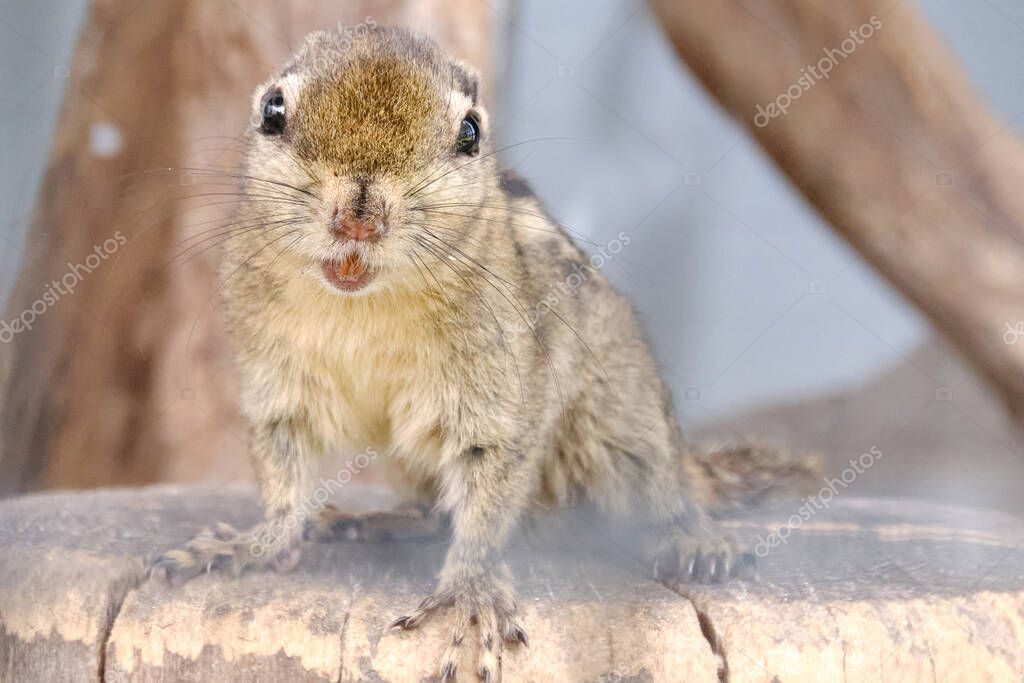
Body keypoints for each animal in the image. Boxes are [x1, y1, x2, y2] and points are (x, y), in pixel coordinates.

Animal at [149, 26, 819, 681]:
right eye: (273, 111)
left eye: (470, 132)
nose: (359, 218)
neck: (363, 302)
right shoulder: (277, 384)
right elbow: (283, 475)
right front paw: (252, 544)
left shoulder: (500, 393)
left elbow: (489, 490)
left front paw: (469, 590)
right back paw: (381, 521)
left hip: (622, 417)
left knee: (659, 484)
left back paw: (693, 539)